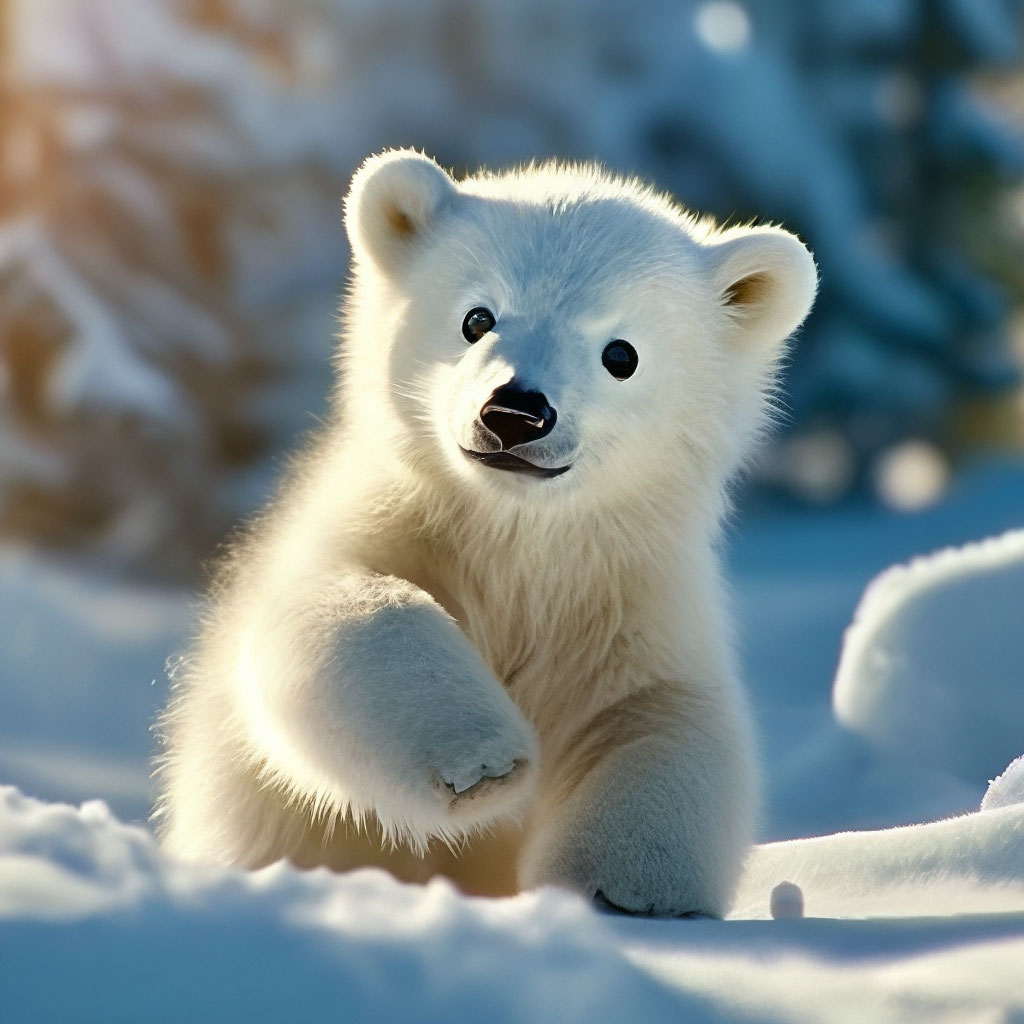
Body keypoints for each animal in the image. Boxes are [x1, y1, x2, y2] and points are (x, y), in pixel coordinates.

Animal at [154, 149, 817, 917]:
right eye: (478, 317)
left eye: (622, 353)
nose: (517, 411)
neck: (518, 541)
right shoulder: (386, 531)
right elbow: (335, 613)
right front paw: (482, 761)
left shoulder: (628, 600)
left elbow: (658, 720)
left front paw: (626, 893)